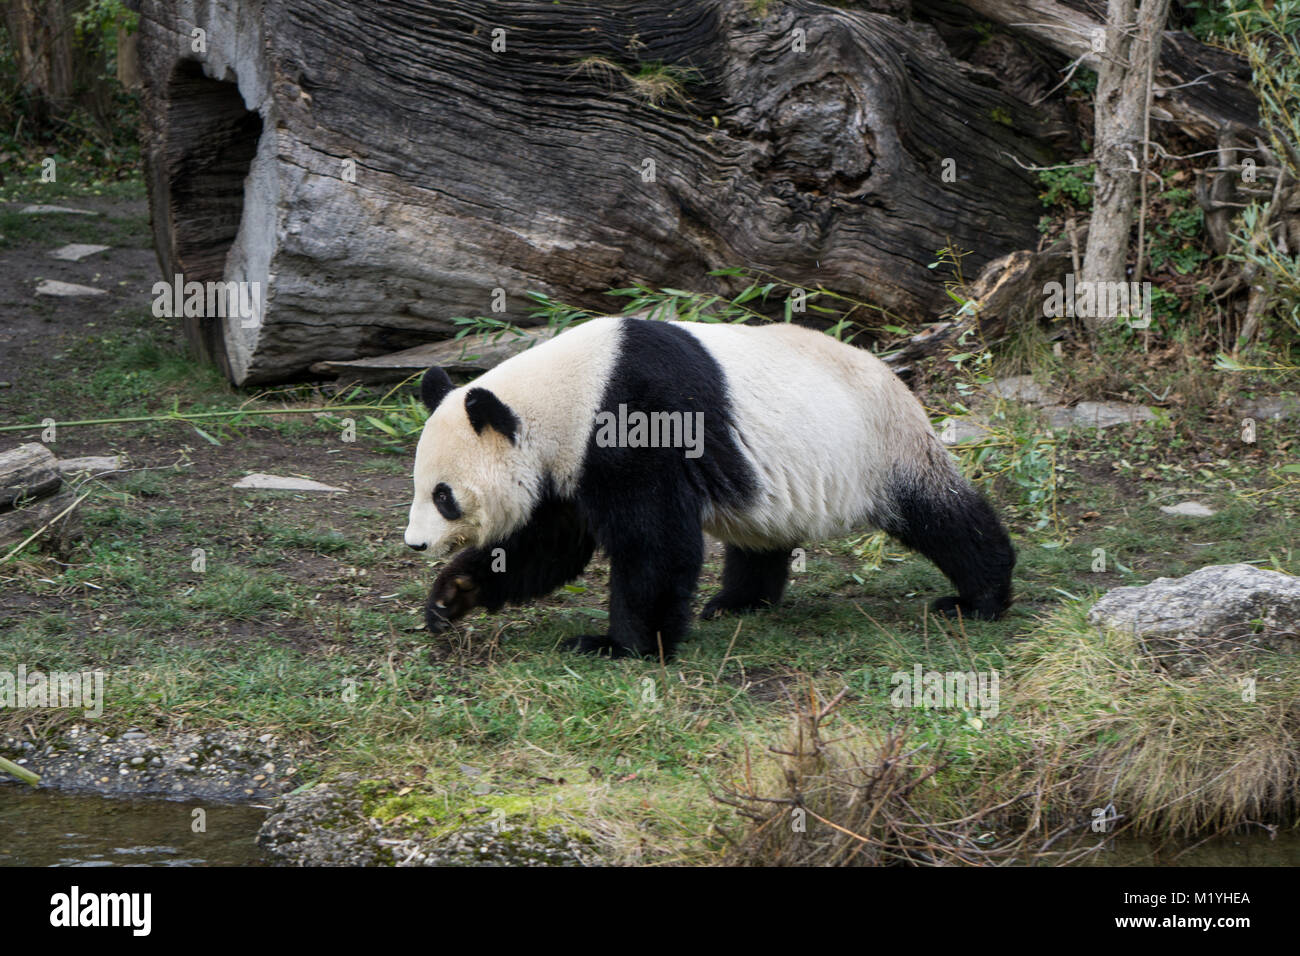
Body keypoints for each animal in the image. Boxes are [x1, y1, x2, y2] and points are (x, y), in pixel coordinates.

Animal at [405, 316, 1015, 659]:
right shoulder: (568, 462)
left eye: (444, 495)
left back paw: (980, 597)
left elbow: (653, 542)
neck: (568, 391)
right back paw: (738, 602)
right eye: (420, 487)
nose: (415, 542)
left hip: (879, 445)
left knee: (939, 515)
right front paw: (452, 597)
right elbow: (549, 545)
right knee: (763, 533)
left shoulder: (634, 418)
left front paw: (618, 646)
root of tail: (896, 375)